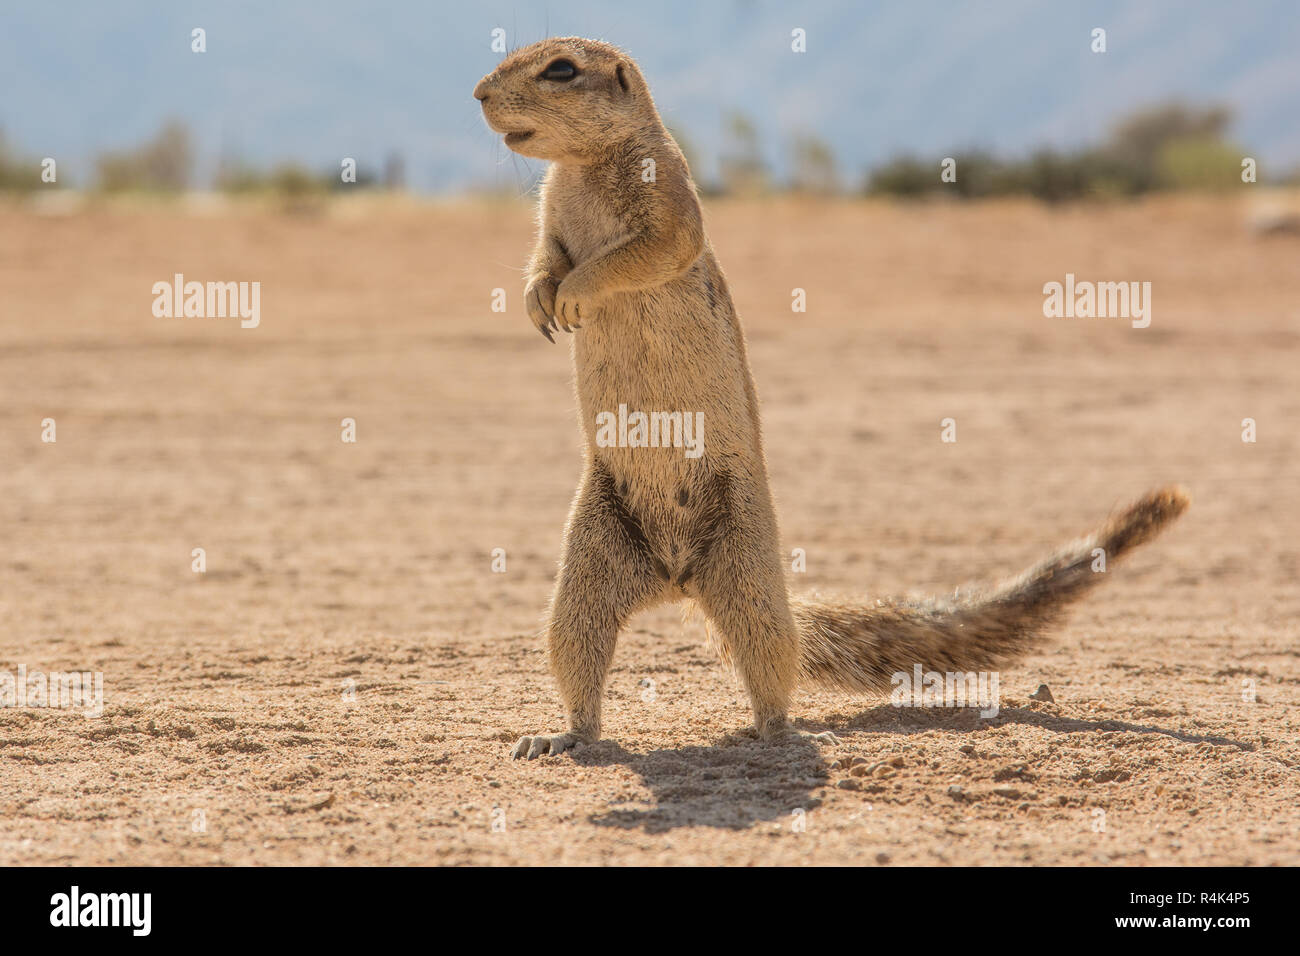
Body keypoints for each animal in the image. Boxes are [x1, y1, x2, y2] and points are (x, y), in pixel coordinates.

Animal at [473, 38, 1189, 759]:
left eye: (561, 70)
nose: (478, 94)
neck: (581, 168)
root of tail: (675, 578)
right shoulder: (550, 214)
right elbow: (545, 255)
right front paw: (539, 298)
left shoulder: (668, 202)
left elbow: (642, 252)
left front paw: (575, 293)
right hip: (587, 570)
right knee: (580, 656)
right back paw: (561, 737)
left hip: (749, 572)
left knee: (769, 660)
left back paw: (775, 731)